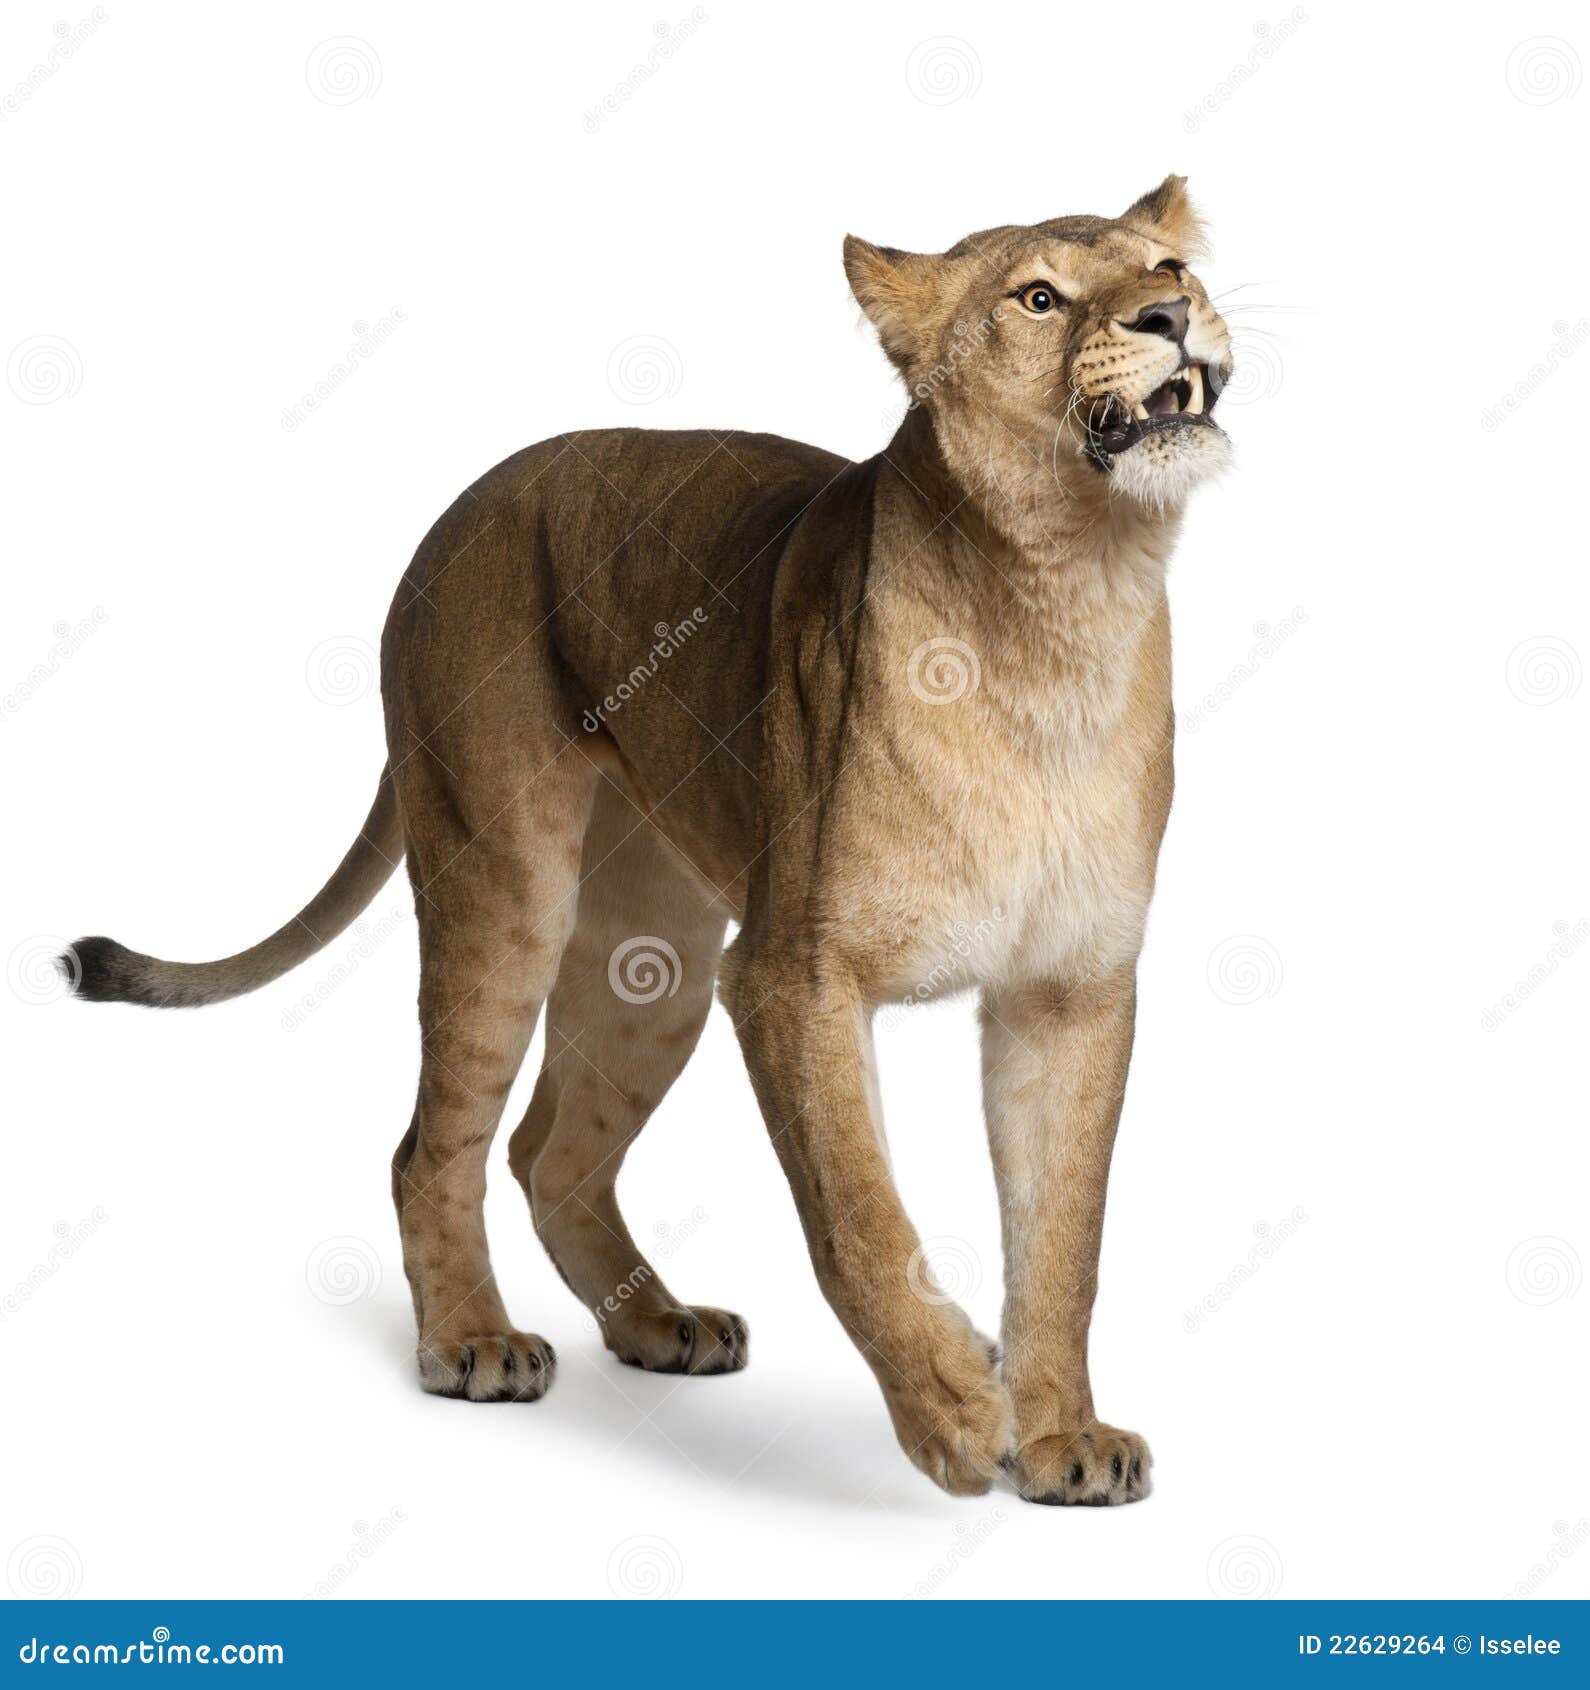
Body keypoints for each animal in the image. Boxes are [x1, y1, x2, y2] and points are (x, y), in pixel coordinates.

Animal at [63, 176, 1234, 1504]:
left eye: (1167, 267)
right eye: (1038, 297)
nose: (1169, 314)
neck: (1066, 601)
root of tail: (463, 502)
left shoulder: (1071, 988)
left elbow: (1064, 1238)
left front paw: (1060, 1438)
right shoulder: (792, 974)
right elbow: (856, 1211)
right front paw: (948, 1405)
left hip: (654, 959)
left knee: (548, 1151)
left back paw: (660, 1323)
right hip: (506, 885)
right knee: (433, 1145)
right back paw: (472, 1341)